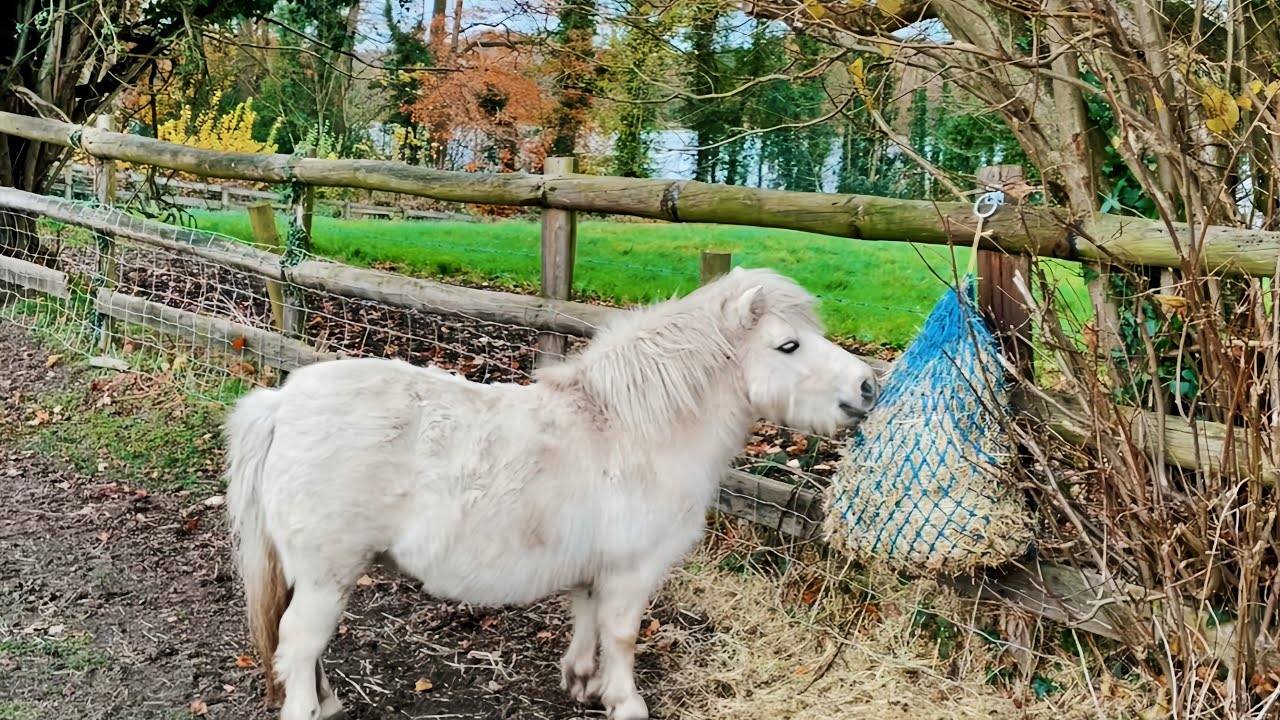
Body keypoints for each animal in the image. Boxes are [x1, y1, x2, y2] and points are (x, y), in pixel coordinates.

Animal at [224, 266, 880, 720]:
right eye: (787, 346)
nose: (869, 386)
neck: (633, 428)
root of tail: (283, 401)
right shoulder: (632, 572)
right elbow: (623, 635)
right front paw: (625, 702)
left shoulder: (594, 570)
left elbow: (587, 621)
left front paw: (583, 683)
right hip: (328, 575)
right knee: (298, 646)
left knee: (303, 648)